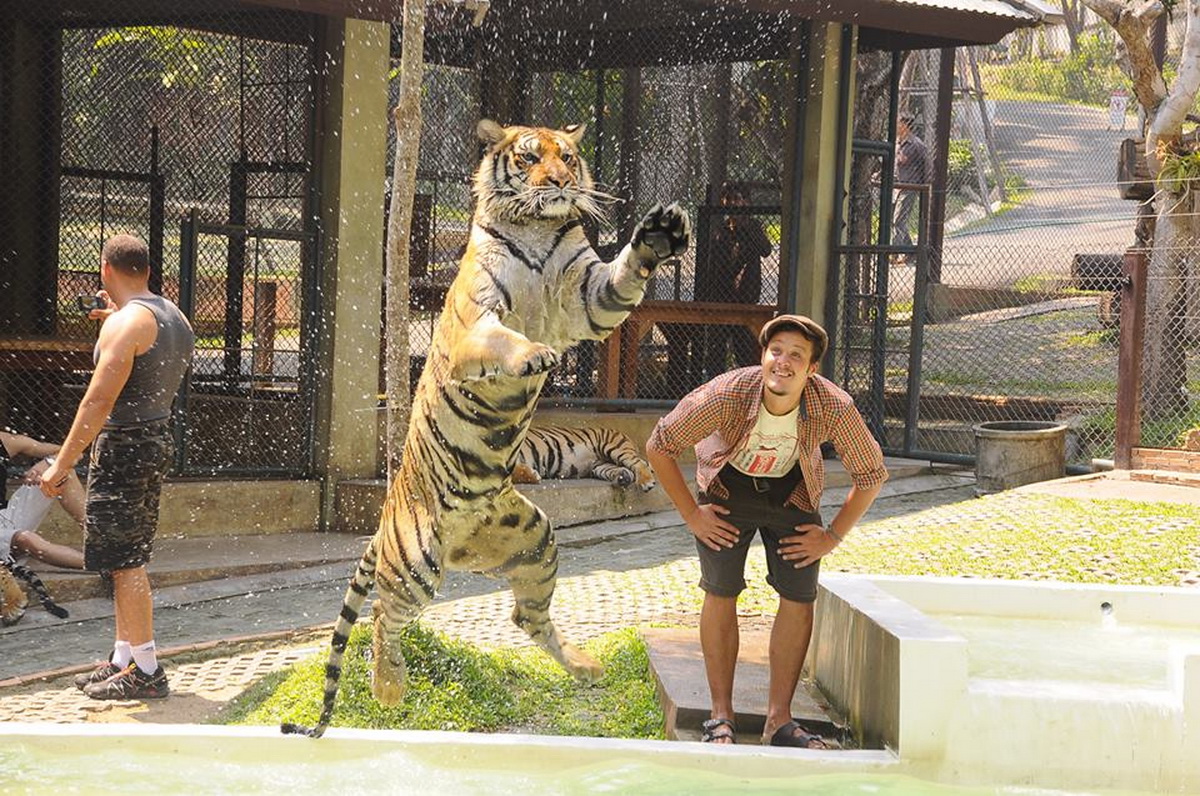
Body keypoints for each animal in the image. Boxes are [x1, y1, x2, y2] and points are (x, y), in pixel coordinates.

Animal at [513, 426, 657, 492]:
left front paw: (533, 475)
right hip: (599, 465)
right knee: (626, 470)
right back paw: (623, 477)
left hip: (614, 447)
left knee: (639, 462)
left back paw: (647, 481)